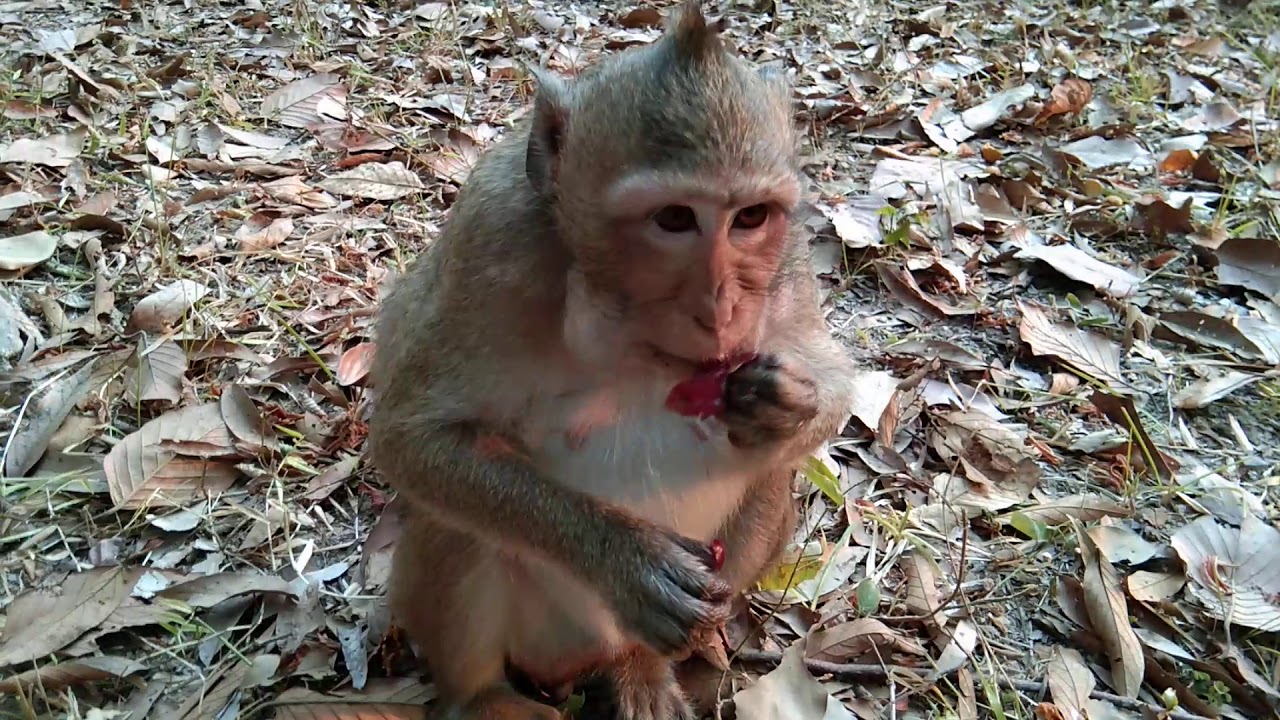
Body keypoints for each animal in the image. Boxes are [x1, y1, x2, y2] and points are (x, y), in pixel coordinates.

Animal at [367, 2, 857, 718]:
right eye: (674, 218)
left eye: (751, 217)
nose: (720, 308)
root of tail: (580, 655)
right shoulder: (492, 245)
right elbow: (414, 440)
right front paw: (626, 559)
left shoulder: (791, 254)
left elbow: (835, 374)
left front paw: (787, 404)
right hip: (539, 633)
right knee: (458, 523)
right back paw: (483, 696)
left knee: (771, 478)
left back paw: (640, 667)